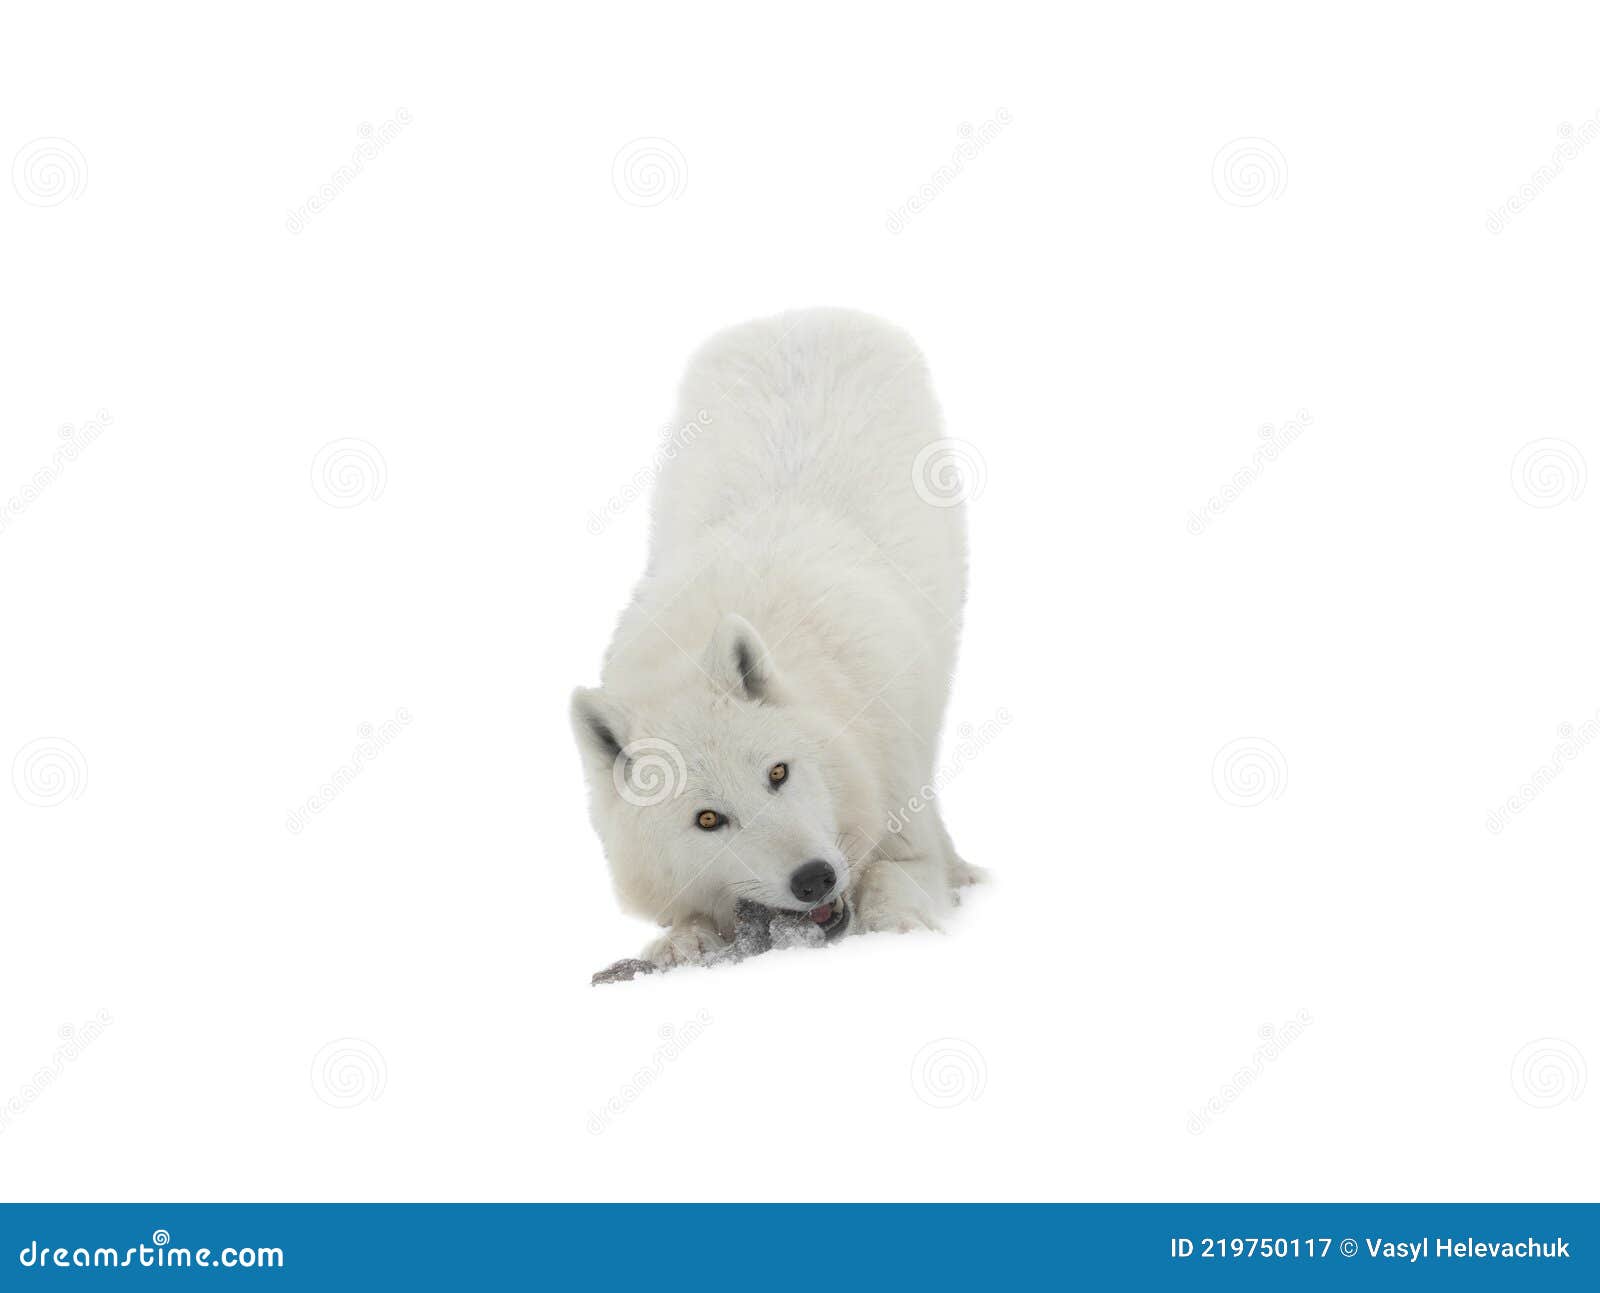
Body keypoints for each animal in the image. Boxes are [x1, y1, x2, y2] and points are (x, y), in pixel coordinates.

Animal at [571, 308, 979, 967]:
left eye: (779, 773)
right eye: (707, 820)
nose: (813, 878)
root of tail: (802, 315)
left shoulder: (901, 818)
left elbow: (894, 879)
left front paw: (899, 933)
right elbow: (688, 922)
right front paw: (678, 948)